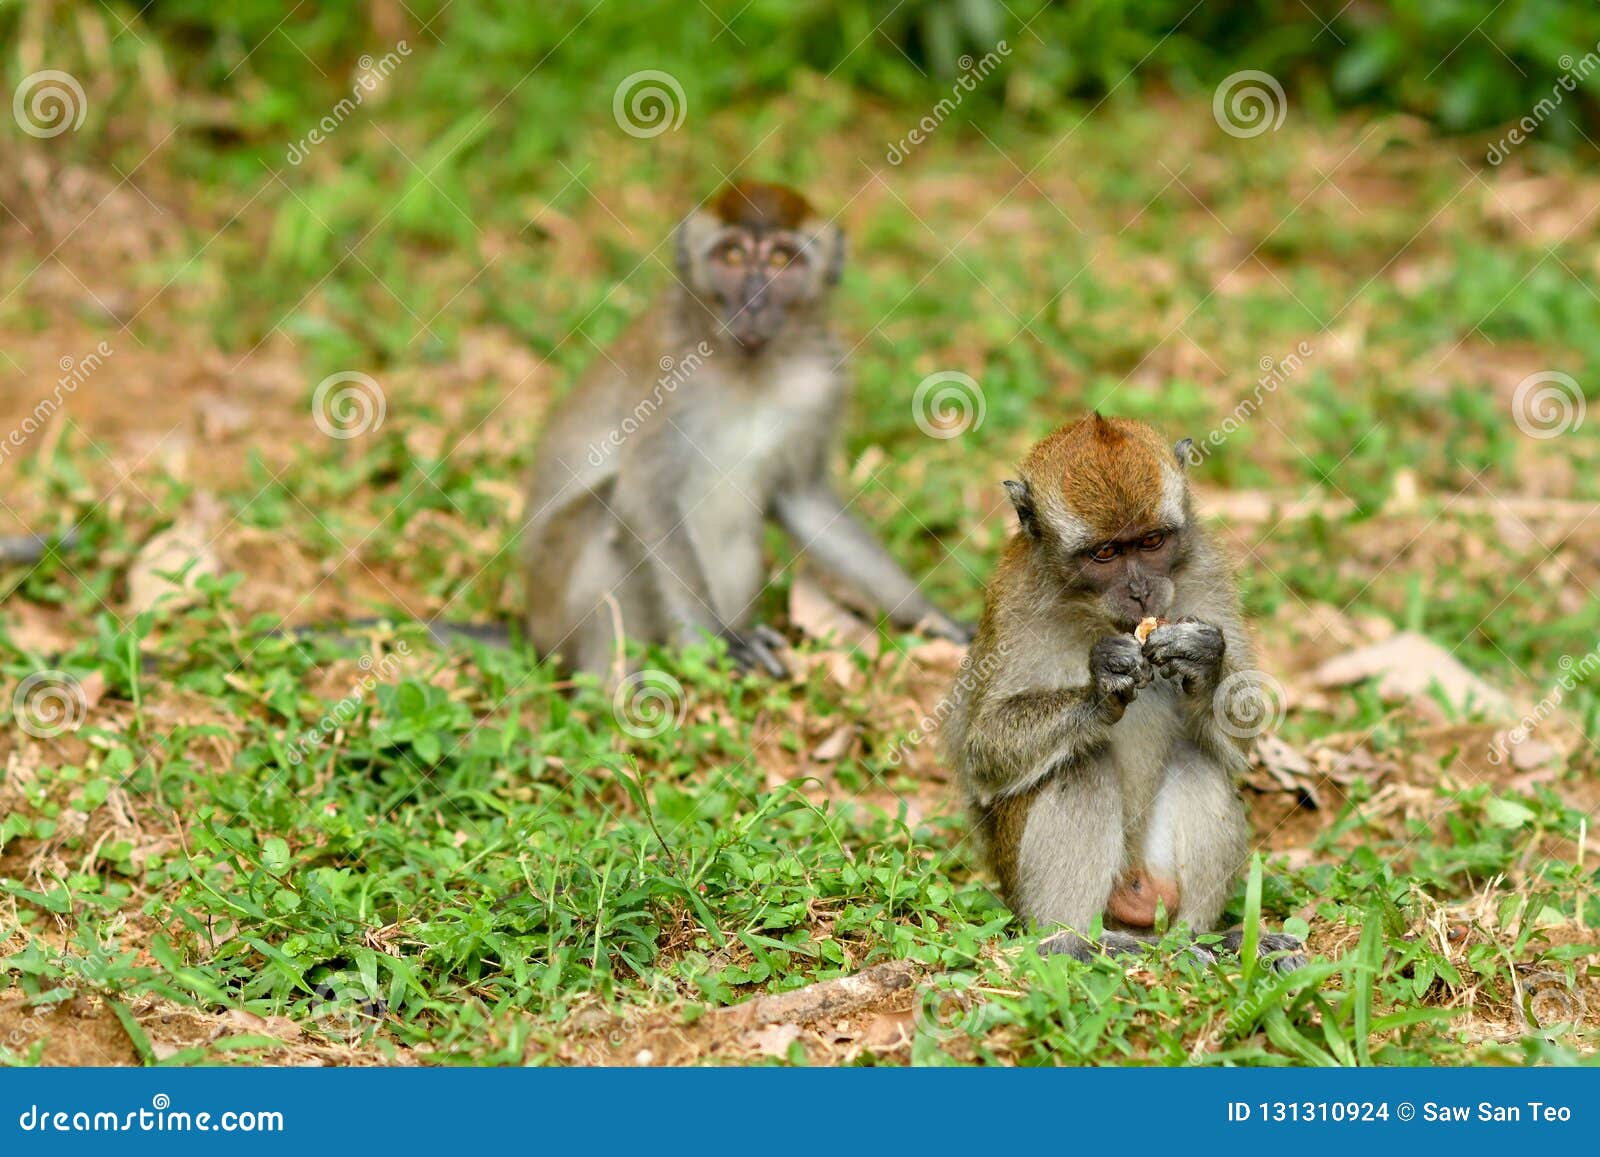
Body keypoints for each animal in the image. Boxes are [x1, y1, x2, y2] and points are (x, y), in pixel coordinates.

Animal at [521, 180, 971, 680]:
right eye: (732, 255)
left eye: (781, 259)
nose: (754, 302)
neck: (747, 365)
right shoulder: (665, 375)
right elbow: (644, 498)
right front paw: (721, 642)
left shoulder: (823, 381)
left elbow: (803, 498)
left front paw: (928, 615)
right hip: (556, 612)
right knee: (602, 513)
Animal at [941, 414, 1303, 971]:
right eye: (1105, 553)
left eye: (1152, 541)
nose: (1140, 591)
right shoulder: (1013, 601)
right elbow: (982, 751)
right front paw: (1101, 687)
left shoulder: (1206, 570)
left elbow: (1239, 731)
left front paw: (1204, 660)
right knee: (1079, 766)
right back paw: (1071, 941)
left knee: (1197, 758)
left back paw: (1198, 940)